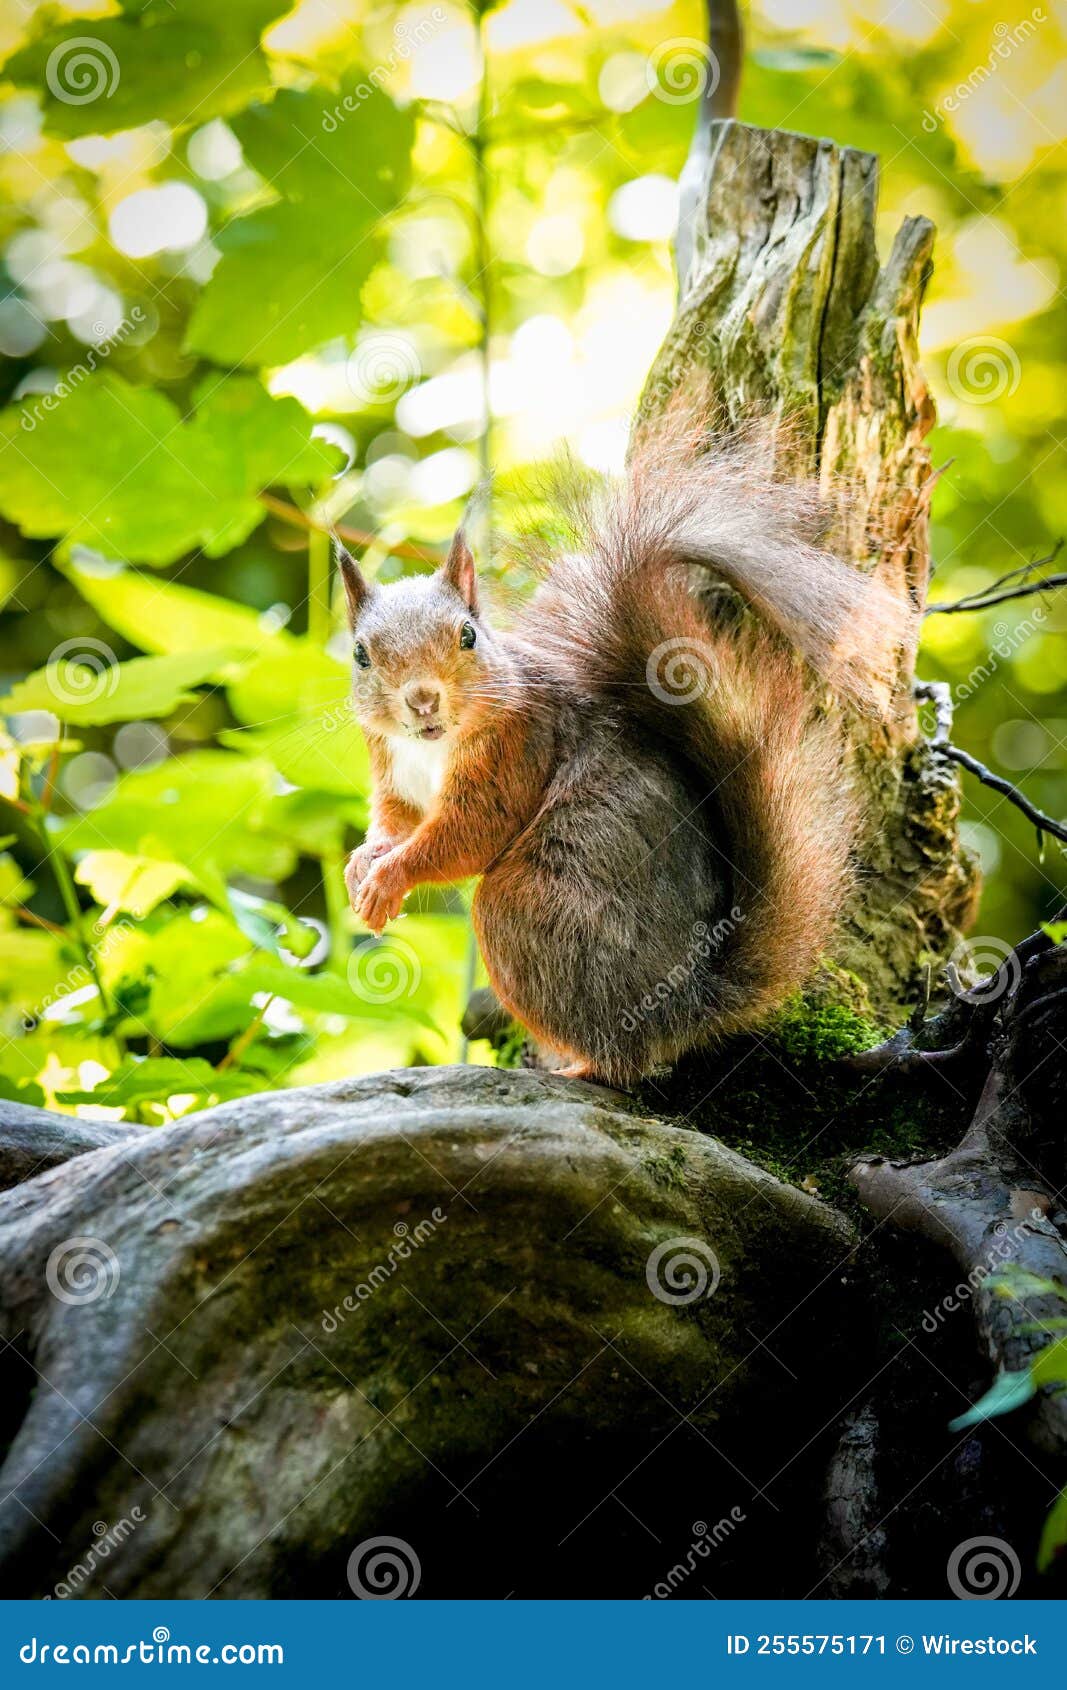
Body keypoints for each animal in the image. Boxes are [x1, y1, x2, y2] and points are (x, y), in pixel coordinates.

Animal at [338, 420, 907, 1088]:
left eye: (468, 635)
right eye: (361, 654)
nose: (422, 698)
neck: (431, 746)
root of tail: (689, 1004)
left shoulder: (517, 747)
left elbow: (471, 831)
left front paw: (391, 875)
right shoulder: (391, 767)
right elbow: (396, 819)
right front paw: (363, 865)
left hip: (530, 908)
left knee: (625, 1057)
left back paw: (584, 1066)